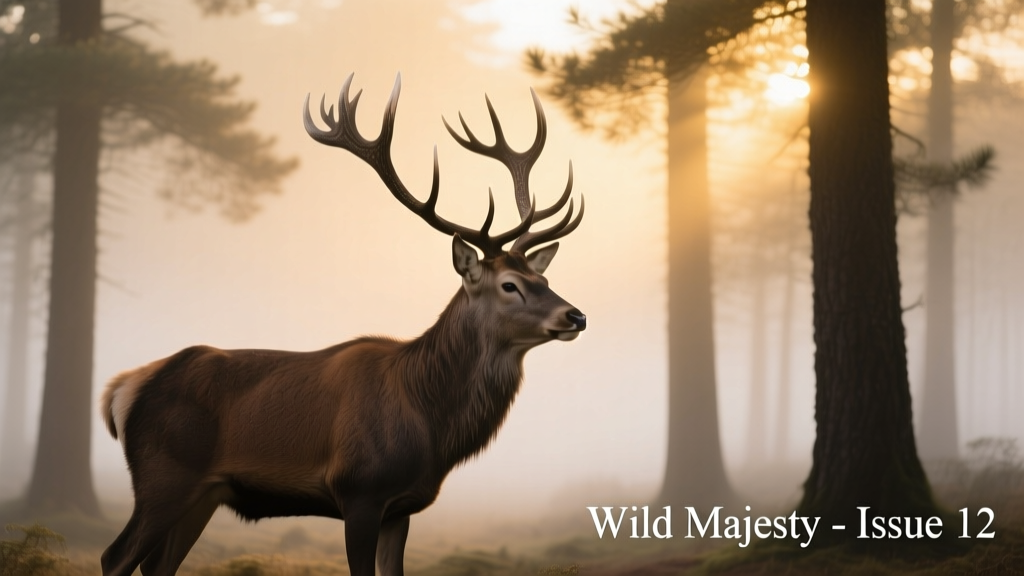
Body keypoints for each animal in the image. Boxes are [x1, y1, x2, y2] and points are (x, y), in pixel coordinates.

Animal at [98, 73, 586, 576]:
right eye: (510, 285)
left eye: (543, 278)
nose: (576, 315)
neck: (428, 422)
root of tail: (121, 390)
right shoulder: (359, 490)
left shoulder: (402, 507)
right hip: (163, 475)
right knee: (114, 556)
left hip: (204, 494)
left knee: (157, 566)